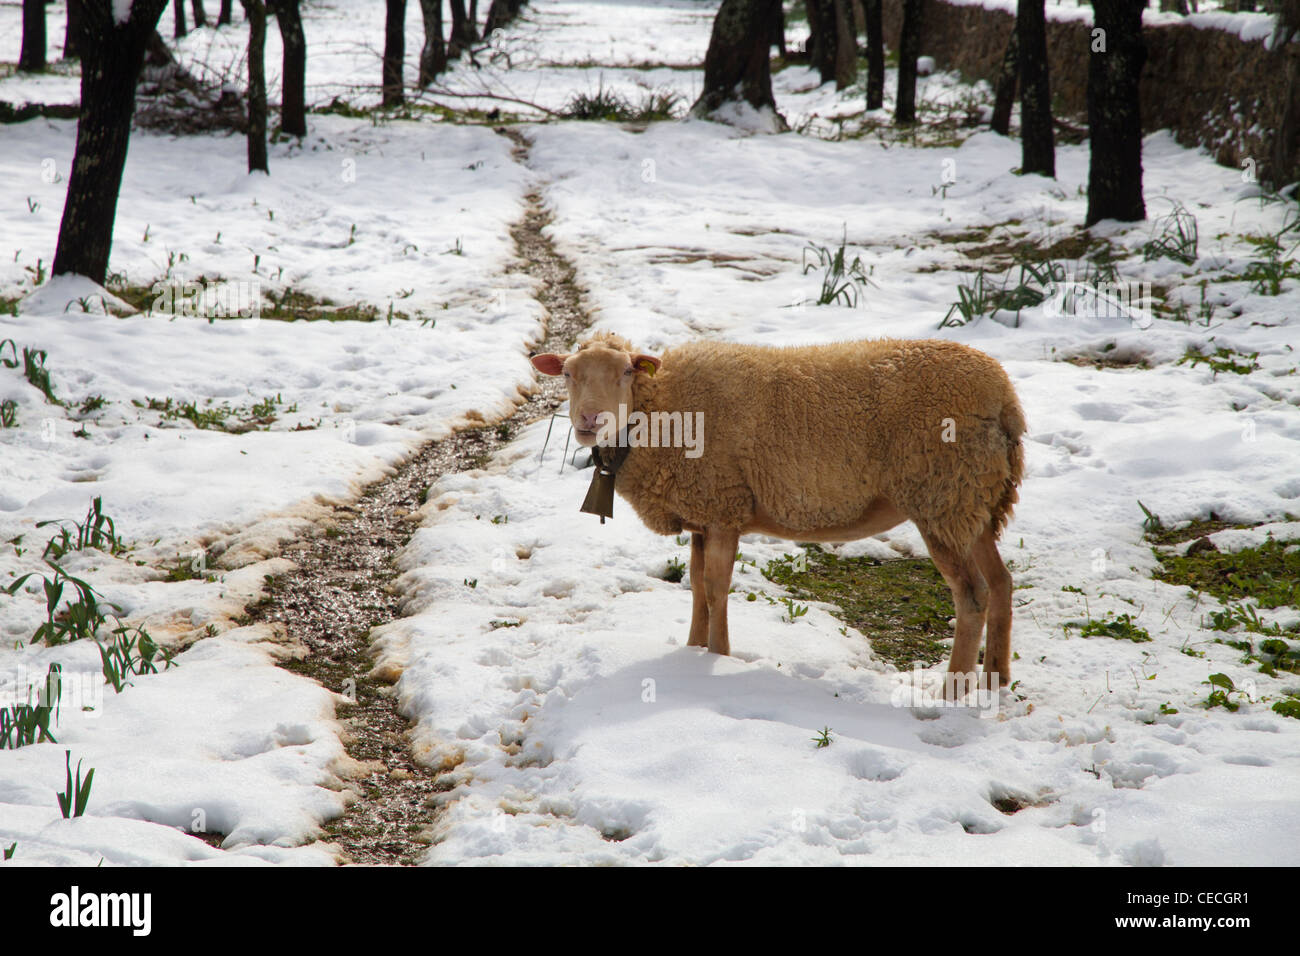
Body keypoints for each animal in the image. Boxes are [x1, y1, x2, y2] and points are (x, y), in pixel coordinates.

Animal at [531, 331, 1026, 693]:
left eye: (626, 372)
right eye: (569, 374)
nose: (590, 421)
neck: (663, 410)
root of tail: (1005, 396)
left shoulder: (723, 507)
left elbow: (716, 588)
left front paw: (718, 656)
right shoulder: (703, 509)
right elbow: (695, 586)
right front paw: (692, 651)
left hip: (942, 495)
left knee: (972, 595)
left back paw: (953, 693)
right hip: (973, 501)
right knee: (1001, 582)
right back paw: (996, 679)